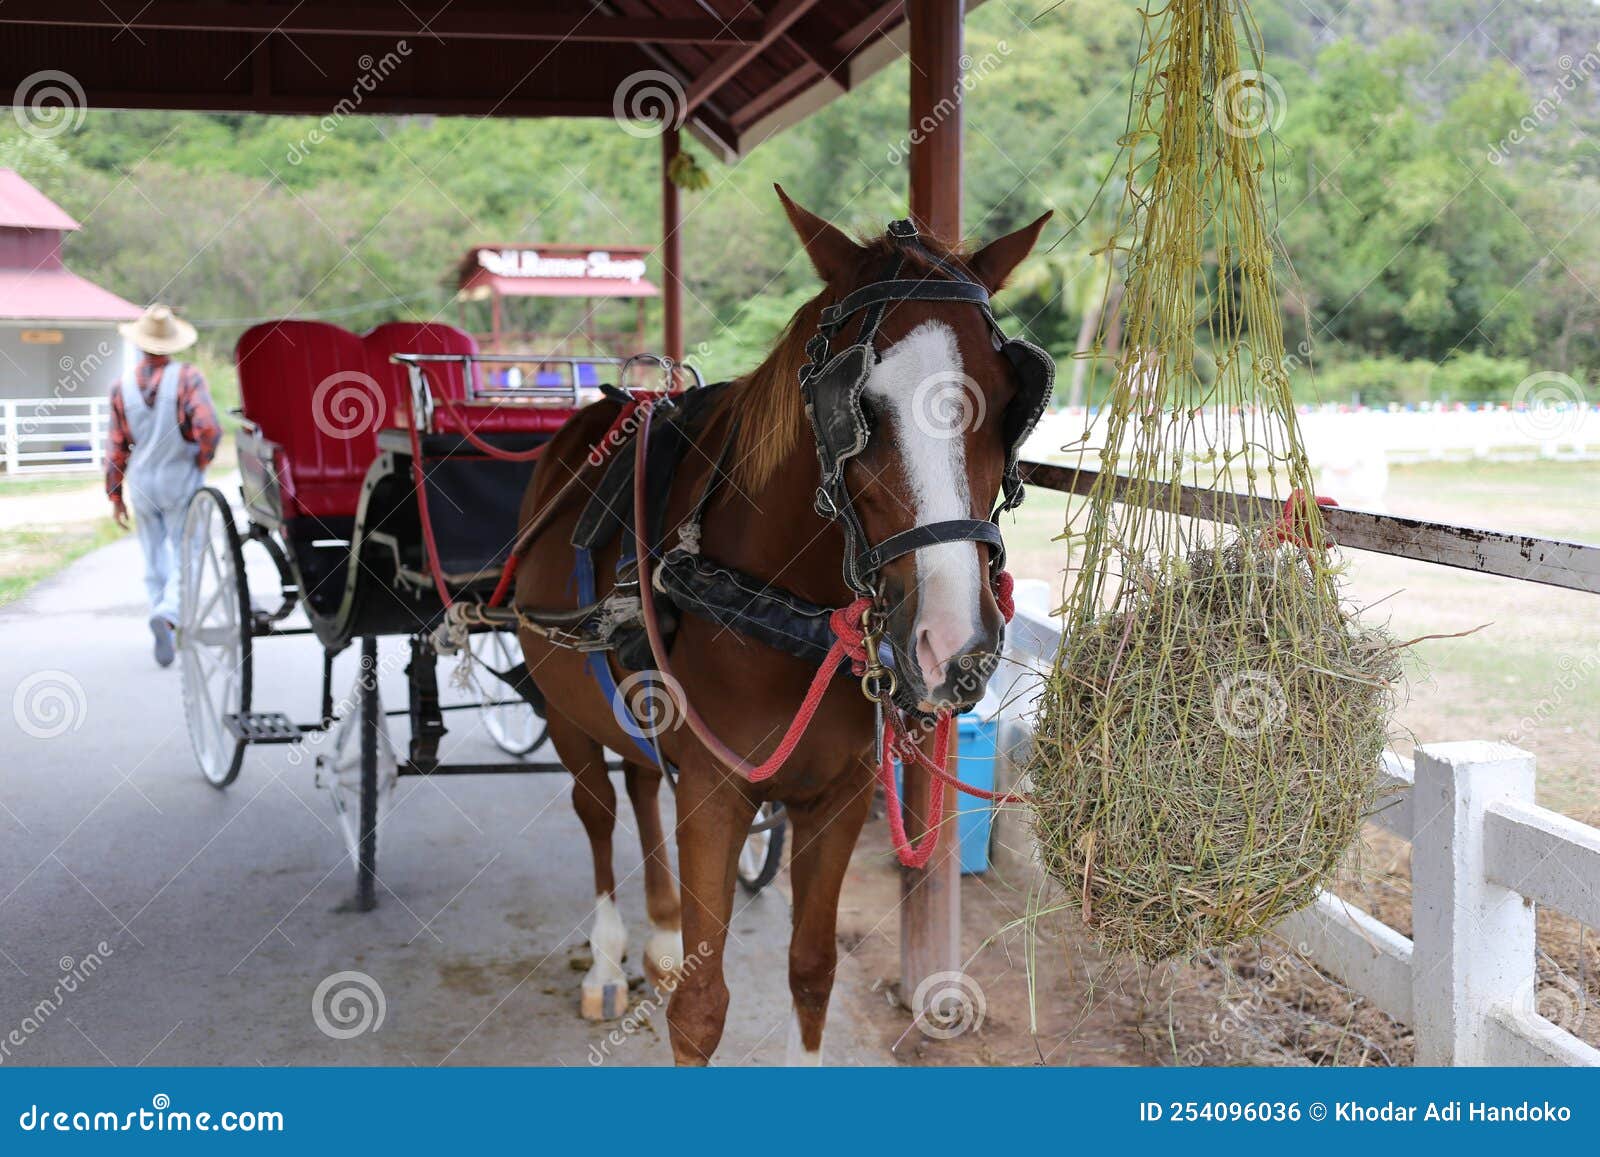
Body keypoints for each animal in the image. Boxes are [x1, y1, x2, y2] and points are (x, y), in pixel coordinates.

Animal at [512, 187, 1052, 1064]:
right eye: (857, 406)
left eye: (1012, 402)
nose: (954, 645)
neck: (776, 605)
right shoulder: (713, 790)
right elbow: (701, 1007)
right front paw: (664, 969)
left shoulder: (837, 794)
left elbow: (811, 969)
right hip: (563, 705)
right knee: (596, 808)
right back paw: (610, 958)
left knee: (639, 782)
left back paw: (661, 932)